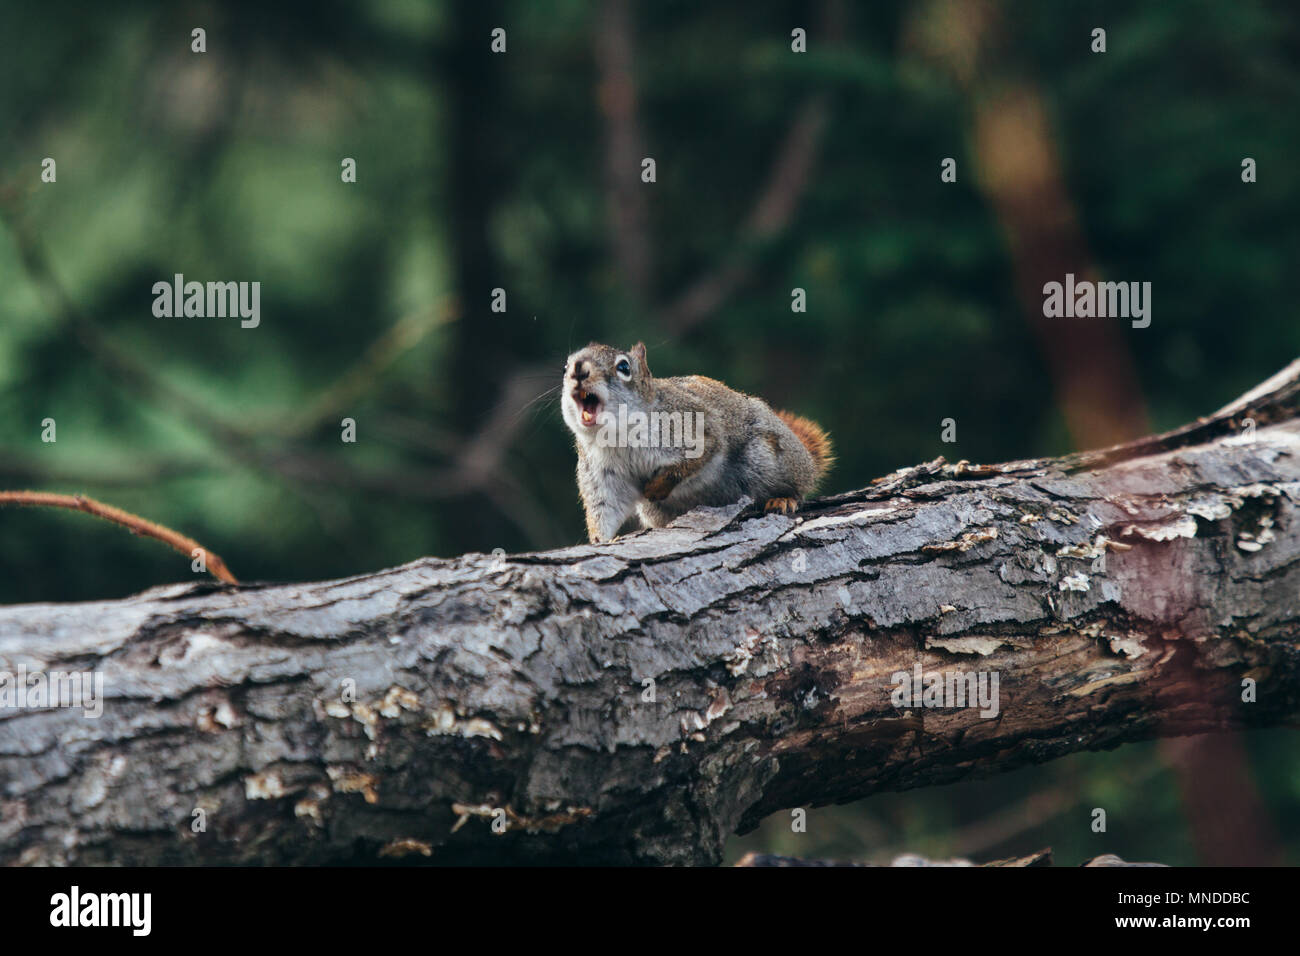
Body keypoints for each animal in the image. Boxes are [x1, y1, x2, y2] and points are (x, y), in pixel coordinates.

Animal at [561, 341, 833, 543]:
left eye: (624, 367)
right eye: (565, 365)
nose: (578, 369)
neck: (616, 435)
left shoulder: (697, 432)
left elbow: (693, 461)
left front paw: (656, 487)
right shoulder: (602, 474)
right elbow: (604, 508)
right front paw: (601, 541)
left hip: (767, 458)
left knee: (798, 486)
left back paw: (784, 499)